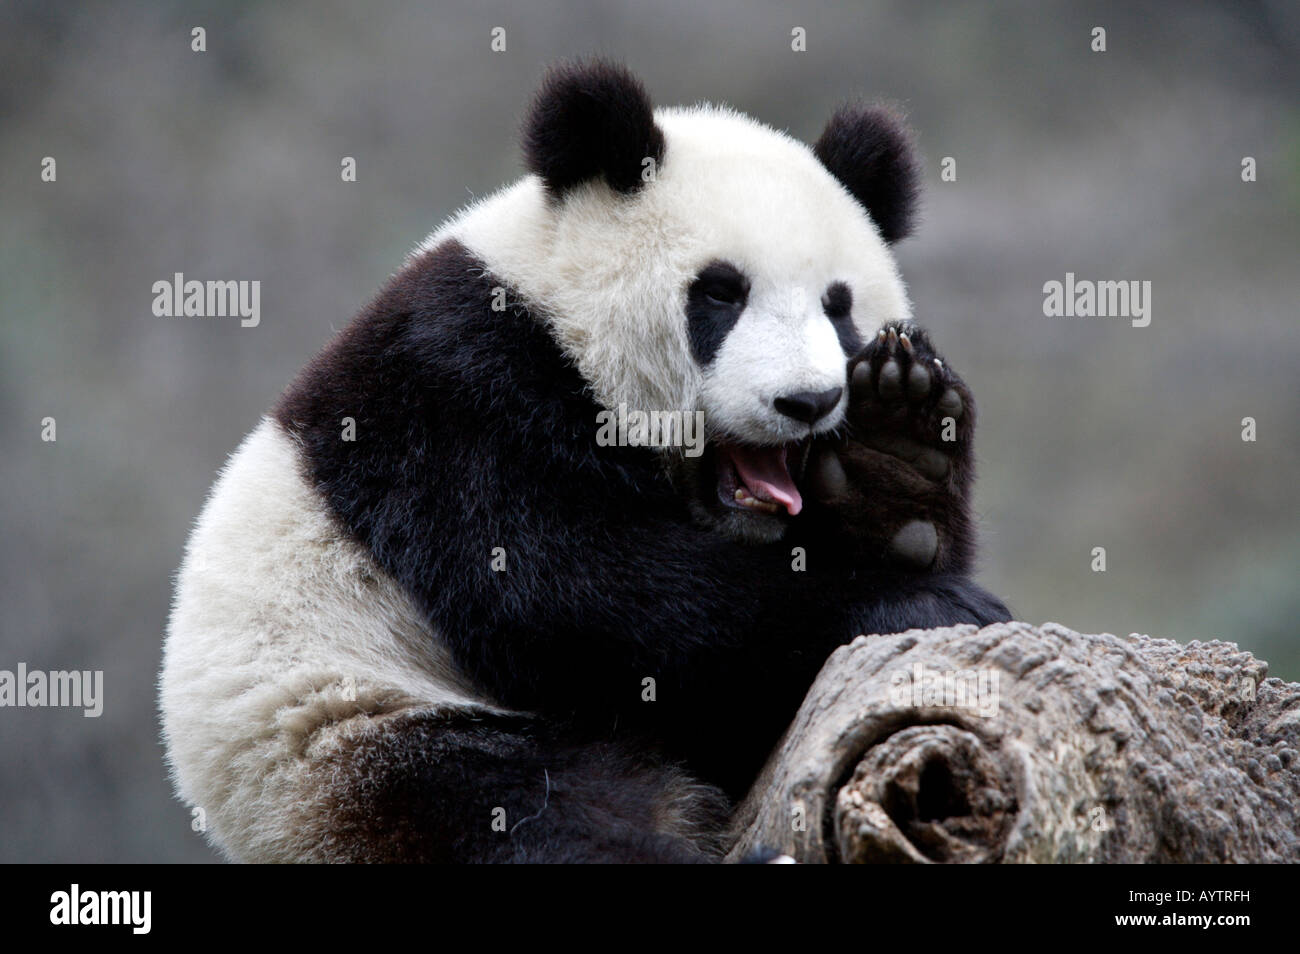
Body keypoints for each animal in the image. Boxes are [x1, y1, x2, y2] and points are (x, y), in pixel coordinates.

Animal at [160, 60, 1009, 863]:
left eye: (838, 306)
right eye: (721, 293)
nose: (807, 401)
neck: (555, 314)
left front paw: (897, 456)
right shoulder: (457, 398)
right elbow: (579, 597)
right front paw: (928, 604)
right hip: (348, 740)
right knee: (520, 817)